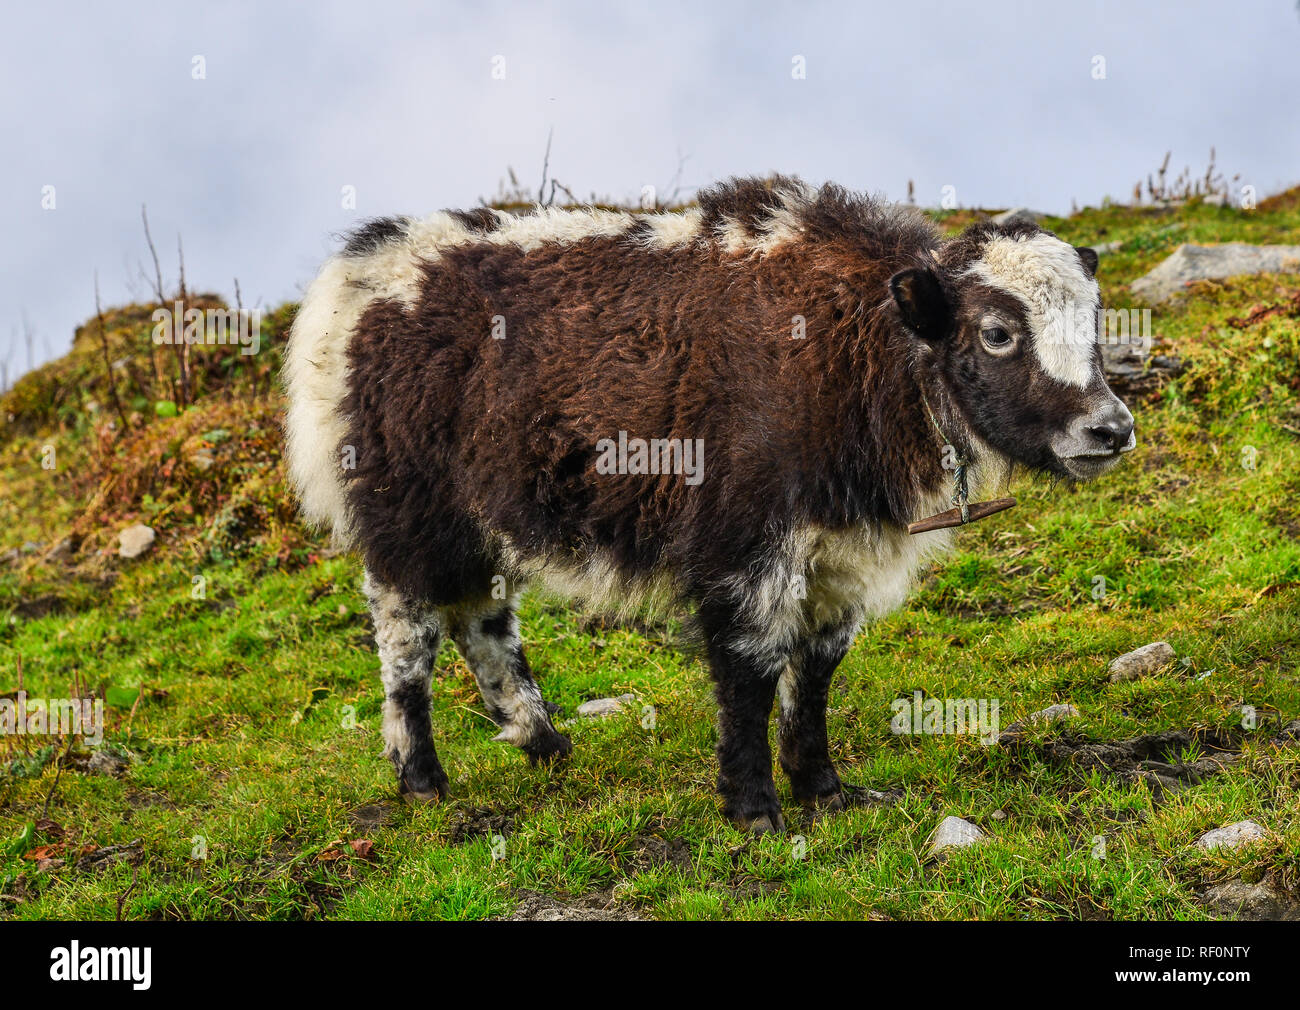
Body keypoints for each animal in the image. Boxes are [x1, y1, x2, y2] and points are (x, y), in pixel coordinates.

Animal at [282, 175, 1135, 832]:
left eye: (1094, 321)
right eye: (996, 332)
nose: (1111, 428)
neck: (856, 346)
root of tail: (357, 274)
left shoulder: (839, 556)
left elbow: (816, 672)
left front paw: (825, 789)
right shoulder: (745, 547)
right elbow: (750, 670)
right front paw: (755, 810)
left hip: (478, 520)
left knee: (482, 620)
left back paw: (544, 743)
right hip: (408, 510)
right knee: (407, 631)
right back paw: (422, 778)